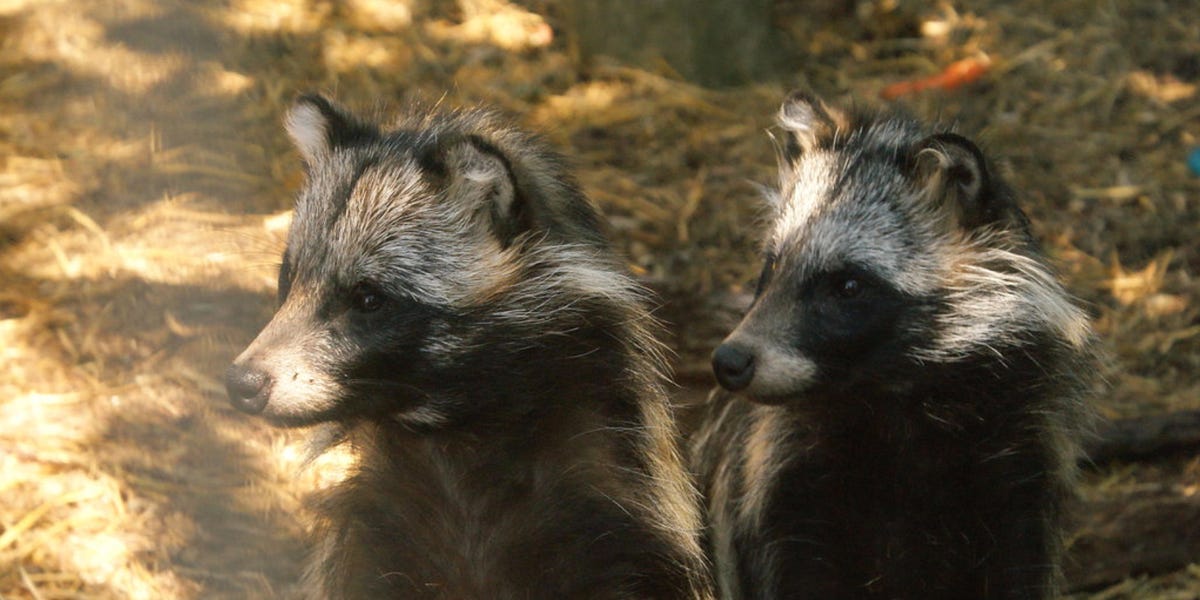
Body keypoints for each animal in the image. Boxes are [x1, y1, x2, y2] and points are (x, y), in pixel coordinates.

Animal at [225, 95, 714, 600]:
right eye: (289, 279)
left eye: (368, 298)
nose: (242, 382)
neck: (450, 440)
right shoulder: (377, 538)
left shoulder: (615, 526)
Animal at [691, 92, 1096, 599]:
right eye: (773, 266)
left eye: (847, 286)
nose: (730, 361)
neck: (893, 399)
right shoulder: (784, 485)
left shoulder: (1018, 467)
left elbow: (1017, 571)